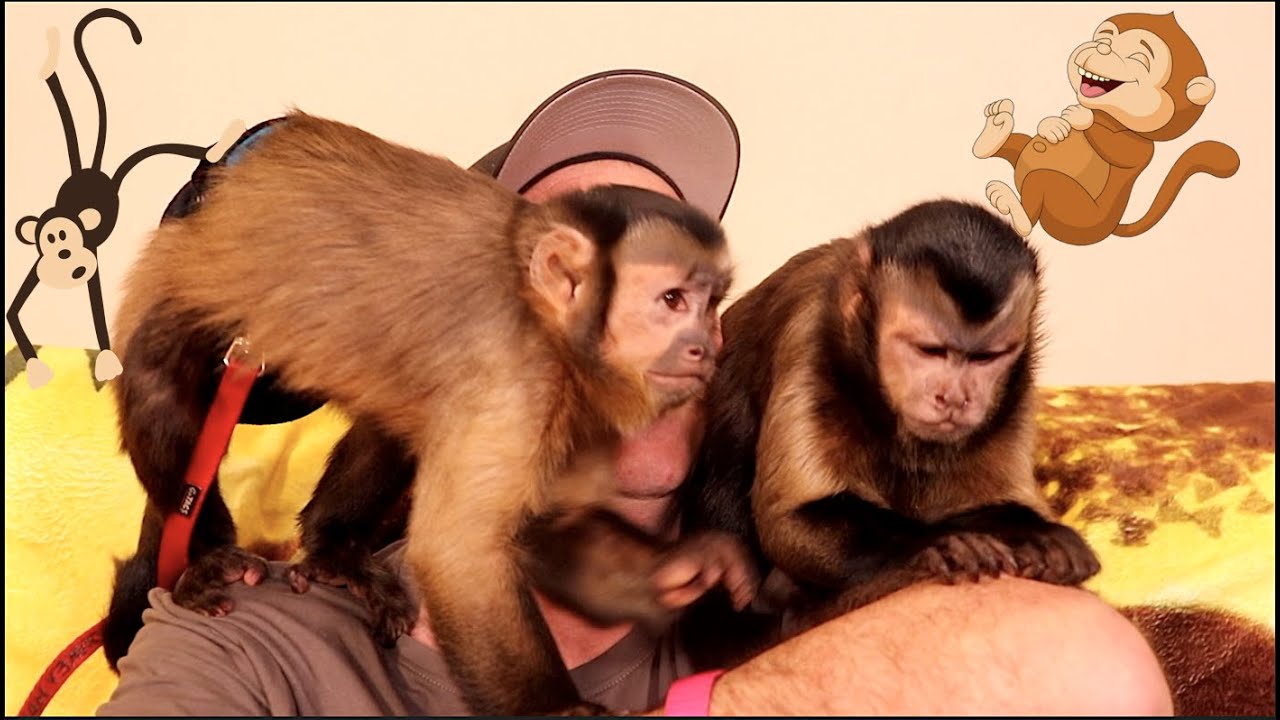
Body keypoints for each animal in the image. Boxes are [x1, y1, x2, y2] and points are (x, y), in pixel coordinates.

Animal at [680, 199, 1101, 652]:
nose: (955, 398)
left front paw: (1031, 533)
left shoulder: (1017, 390)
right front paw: (934, 542)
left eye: (986, 358)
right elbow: (788, 524)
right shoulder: (809, 338)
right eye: (930, 350)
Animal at [974, 12, 1240, 246]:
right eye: (1105, 40)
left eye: (1138, 58)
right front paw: (1055, 125)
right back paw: (995, 130)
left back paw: (1012, 206)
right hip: (1025, 158)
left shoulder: (1142, 146)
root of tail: (1110, 227)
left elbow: (1120, 149)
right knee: (1017, 144)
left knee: (1040, 187)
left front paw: (1080, 116)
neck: (1107, 115)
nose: (1103, 49)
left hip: (1073, 209)